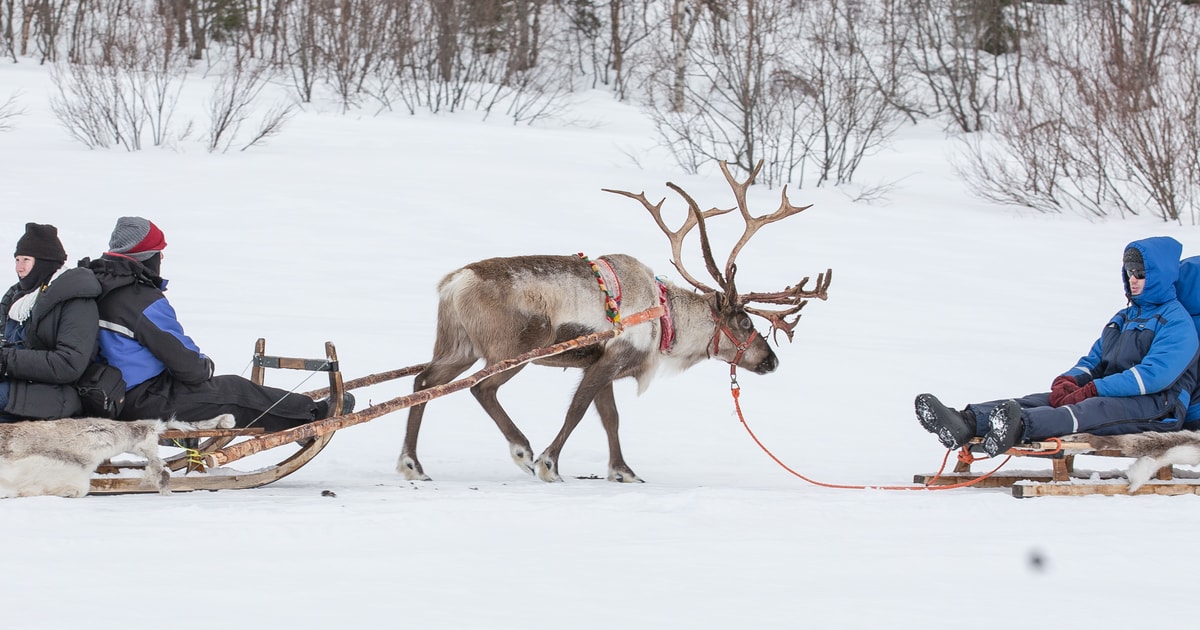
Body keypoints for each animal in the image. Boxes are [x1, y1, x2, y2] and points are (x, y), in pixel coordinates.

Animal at [397, 160, 831, 483]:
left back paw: (412, 464)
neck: (666, 319)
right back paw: (521, 450)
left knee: (423, 382)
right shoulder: (610, 359)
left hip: (458, 346)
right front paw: (549, 464)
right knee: (480, 388)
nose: (771, 361)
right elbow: (578, 411)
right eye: (743, 322)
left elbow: (610, 419)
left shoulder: (599, 364)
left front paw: (623, 471)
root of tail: (454, 283)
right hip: (513, 348)